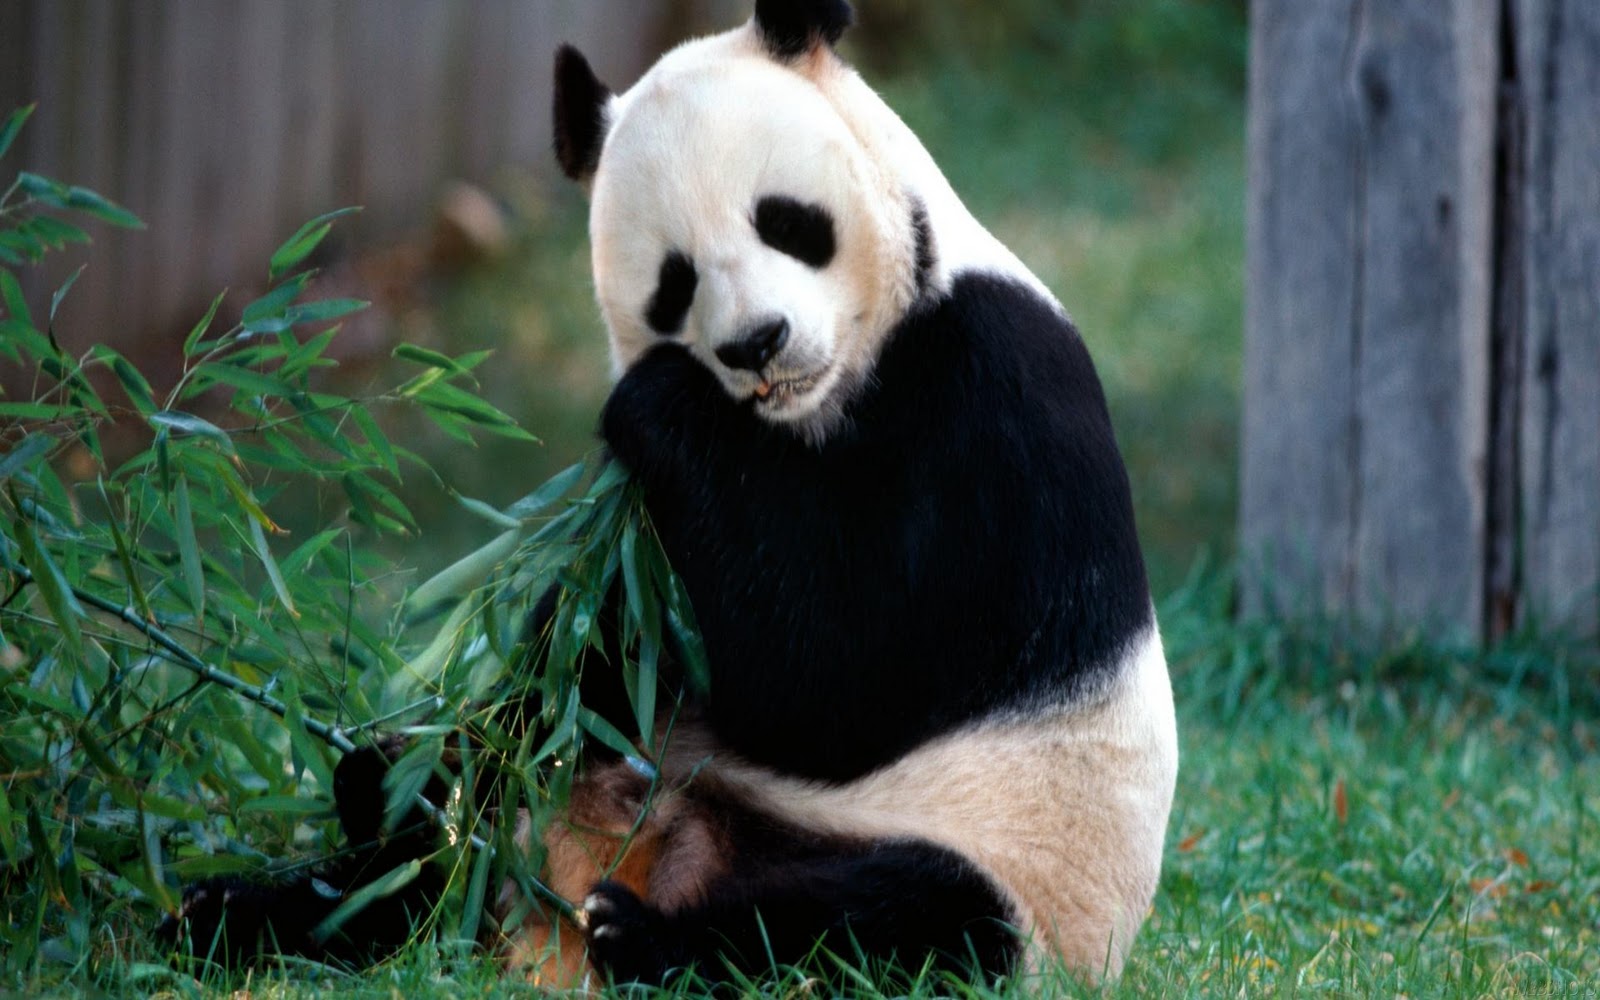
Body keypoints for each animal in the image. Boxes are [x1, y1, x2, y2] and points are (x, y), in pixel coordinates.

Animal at [165, 0, 1177, 989]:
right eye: (673, 281)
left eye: (786, 221)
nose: (756, 344)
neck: (812, 409)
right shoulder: (653, 544)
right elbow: (596, 648)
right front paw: (403, 771)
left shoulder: (991, 404)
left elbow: (836, 681)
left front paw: (659, 398)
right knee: (441, 862)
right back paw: (282, 881)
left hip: (1014, 875)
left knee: (890, 922)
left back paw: (647, 939)